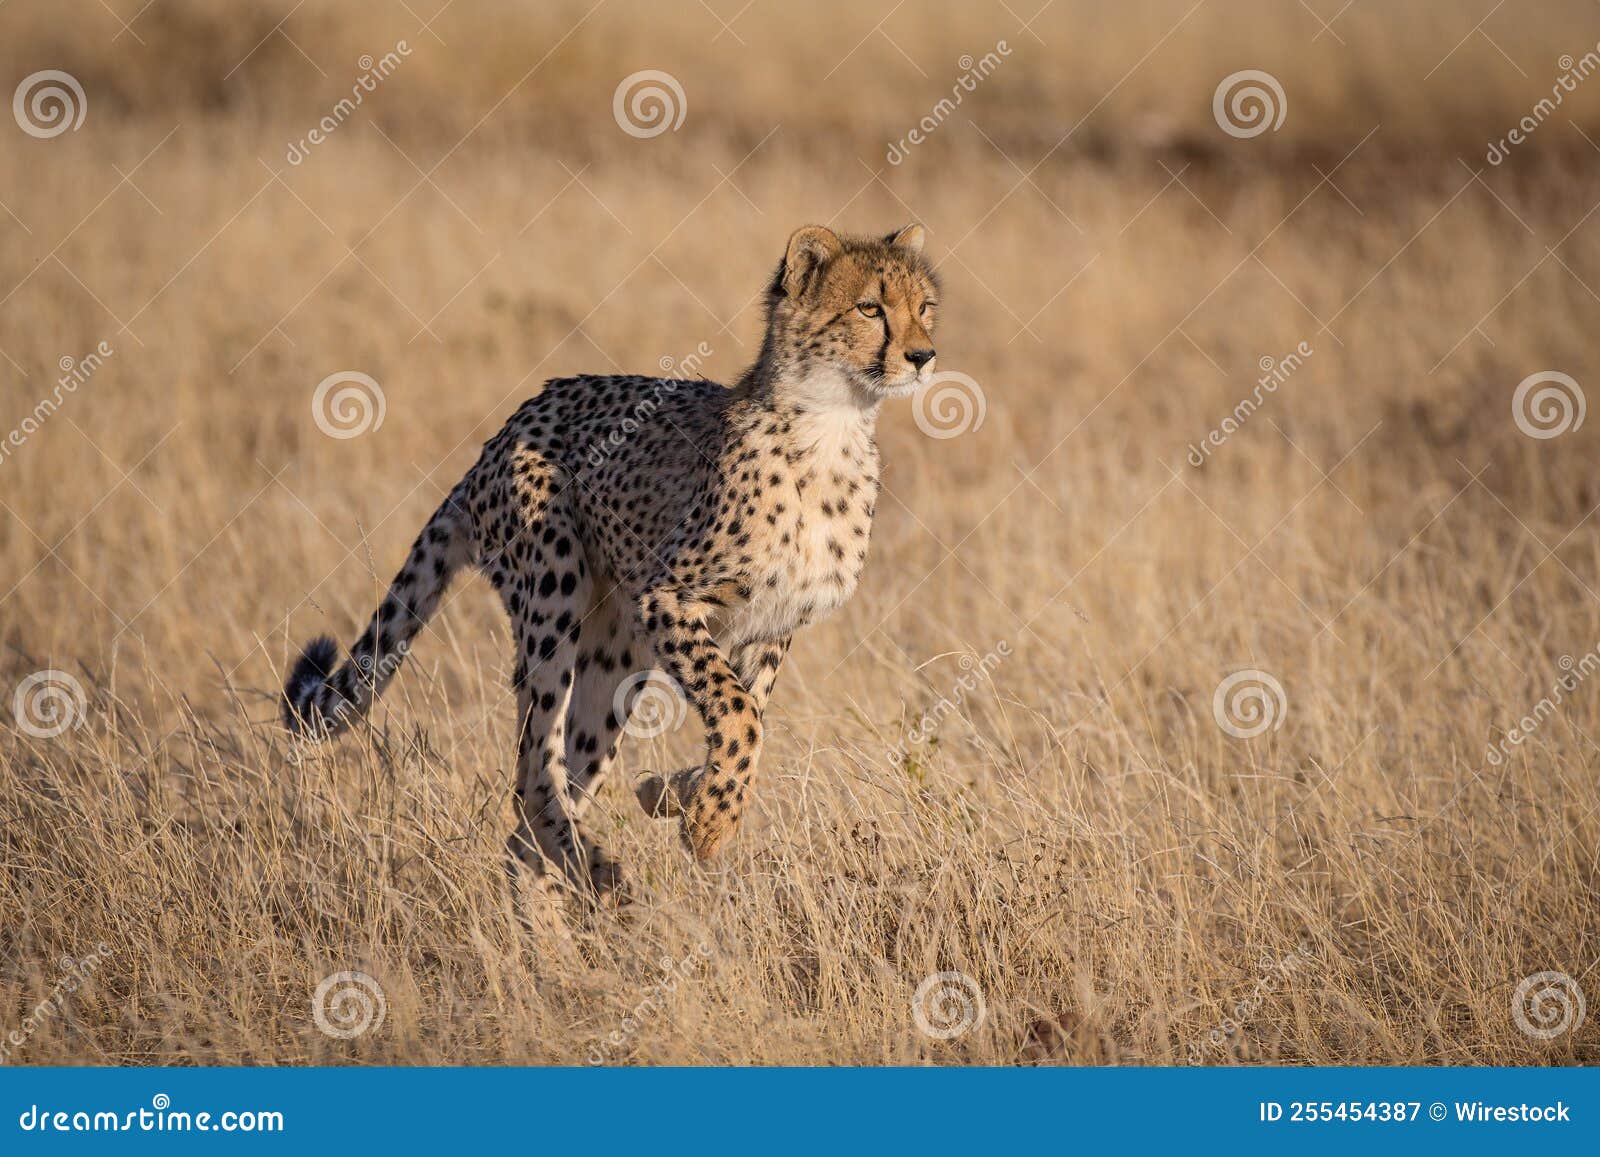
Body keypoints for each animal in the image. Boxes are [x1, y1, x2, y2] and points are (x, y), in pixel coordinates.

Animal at [282, 223, 940, 904]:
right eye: (870, 308)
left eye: (924, 307)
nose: (924, 356)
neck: (832, 425)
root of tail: (503, 432)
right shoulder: (668, 597)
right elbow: (738, 713)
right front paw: (708, 822)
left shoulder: (770, 624)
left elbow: (747, 715)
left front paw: (675, 795)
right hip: (553, 591)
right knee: (533, 778)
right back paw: (604, 877)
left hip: (615, 651)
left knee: (535, 815)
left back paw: (564, 906)